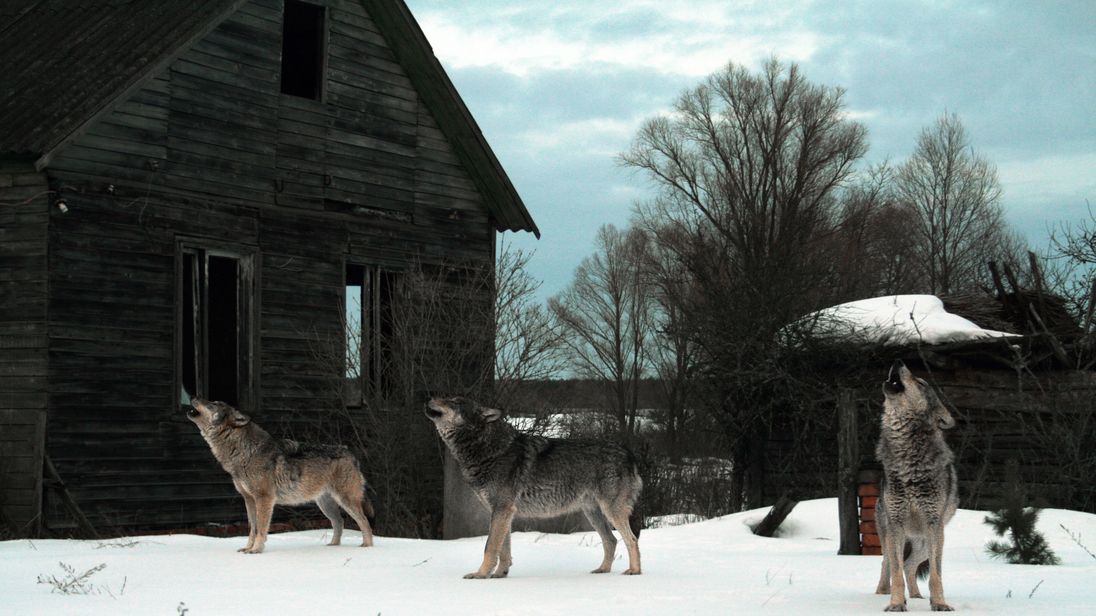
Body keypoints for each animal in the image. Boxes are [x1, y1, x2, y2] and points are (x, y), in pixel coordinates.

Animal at [186, 398, 375, 553]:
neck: (244, 451)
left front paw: (256, 550)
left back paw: (366, 547)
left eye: (213, 403)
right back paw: (333, 547)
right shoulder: (249, 499)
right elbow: (252, 528)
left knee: (365, 522)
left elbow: (261, 529)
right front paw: (248, 548)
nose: (194, 397)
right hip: (325, 504)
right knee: (339, 522)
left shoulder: (264, 498)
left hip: (346, 501)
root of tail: (351, 453)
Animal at [425, 396, 643, 578]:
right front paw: (500, 574)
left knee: (632, 540)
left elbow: (490, 547)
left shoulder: (502, 510)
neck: (488, 449)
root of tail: (628, 453)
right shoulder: (503, 513)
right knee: (611, 541)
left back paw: (634, 571)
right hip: (593, 513)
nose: (430, 398)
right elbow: (503, 550)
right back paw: (602, 570)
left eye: (455, 402)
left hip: (610, 511)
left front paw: (480, 575)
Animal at [874, 362, 959, 612]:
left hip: (925, 543)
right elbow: (896, 572)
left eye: (920, 382)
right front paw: (895, 604)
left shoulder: (934, 525)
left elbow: (935, 575)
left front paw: (939, 603)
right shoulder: (896, 524)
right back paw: (883, 593)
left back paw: (917, 597)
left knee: (910, 565)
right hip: (891, 535)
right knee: (888, 564)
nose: (898, 361)